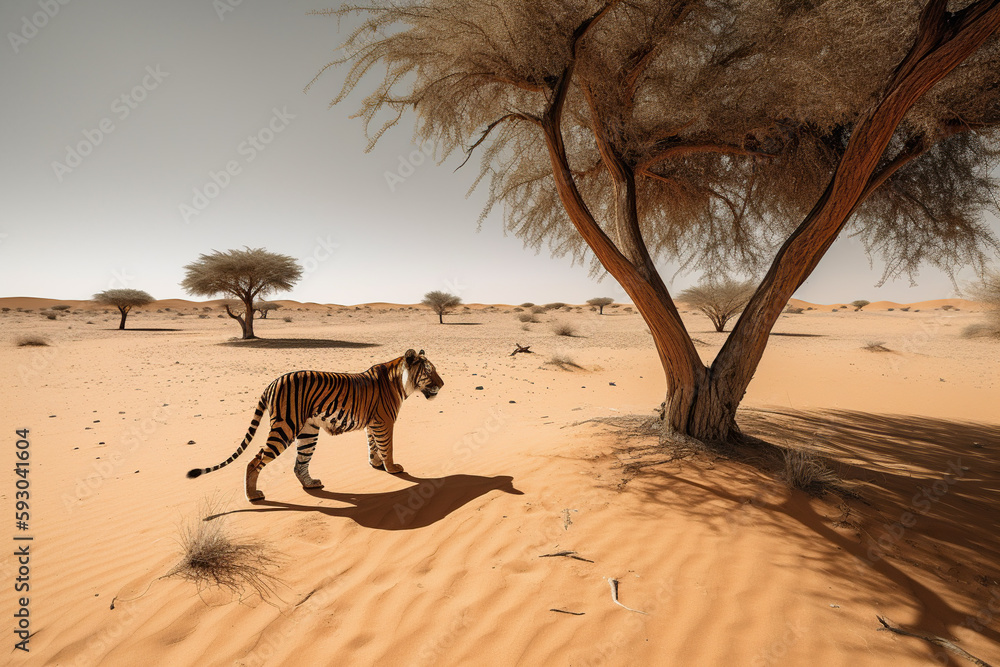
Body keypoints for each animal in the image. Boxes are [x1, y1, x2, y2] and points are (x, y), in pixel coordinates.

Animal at [186, 349, 444, 501]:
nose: (442, 384)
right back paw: (253, 495)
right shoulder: (384, 422)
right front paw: (393, 468)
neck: (401, 381)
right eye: (430, 371)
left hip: (308, 431)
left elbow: (374, 446)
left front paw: (376, 465)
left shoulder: (373, 423)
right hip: (286, 428)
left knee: (299, 464)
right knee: (256, 459)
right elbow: (387, 447)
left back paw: (310, 484)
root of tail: (272, 381)